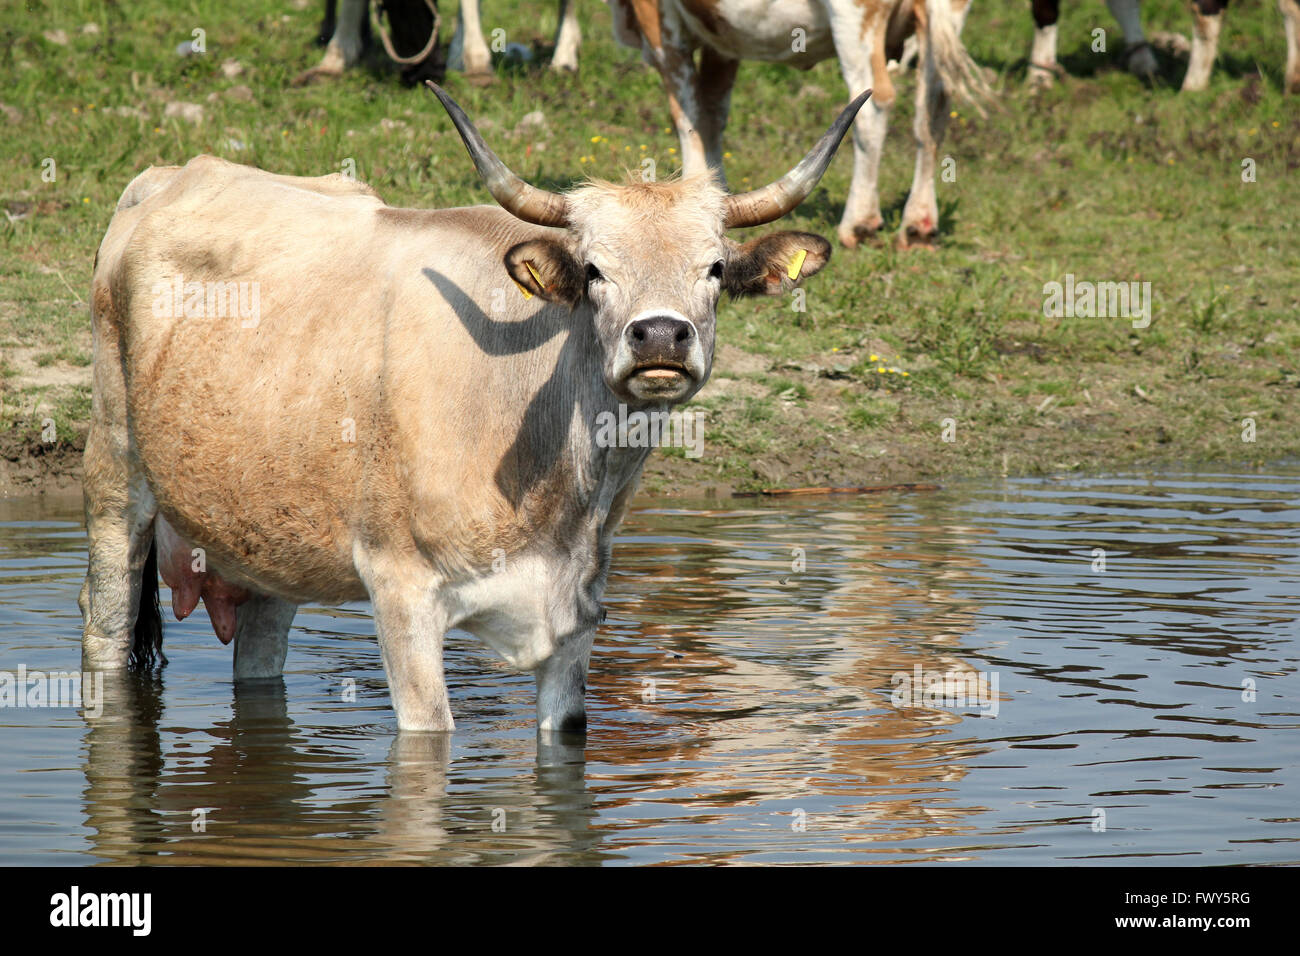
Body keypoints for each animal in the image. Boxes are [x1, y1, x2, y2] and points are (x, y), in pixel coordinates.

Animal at [79, 83, 872, 733]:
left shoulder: (576, 620)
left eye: (714, 268)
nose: (659, 336)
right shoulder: (401, 594)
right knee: (105, 626)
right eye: (593, 271)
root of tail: (170, 176)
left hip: (269, 536)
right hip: (115, 474)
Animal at [605, 0, 990, 250]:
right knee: (934, 105)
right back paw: (919, 224)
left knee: (875, 101)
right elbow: (713, 110)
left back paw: (859, 222)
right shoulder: (722, 38)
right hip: (945, 18)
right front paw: (717, 189)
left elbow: (688, 113)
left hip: (855, 19)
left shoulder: (658, 22)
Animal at [1027, 0, 1300, 94]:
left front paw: (1038, 78)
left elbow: (1044, 10)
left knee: (1206, 12)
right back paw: (1293, 82)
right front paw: (1144, 62)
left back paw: (1192, 87)